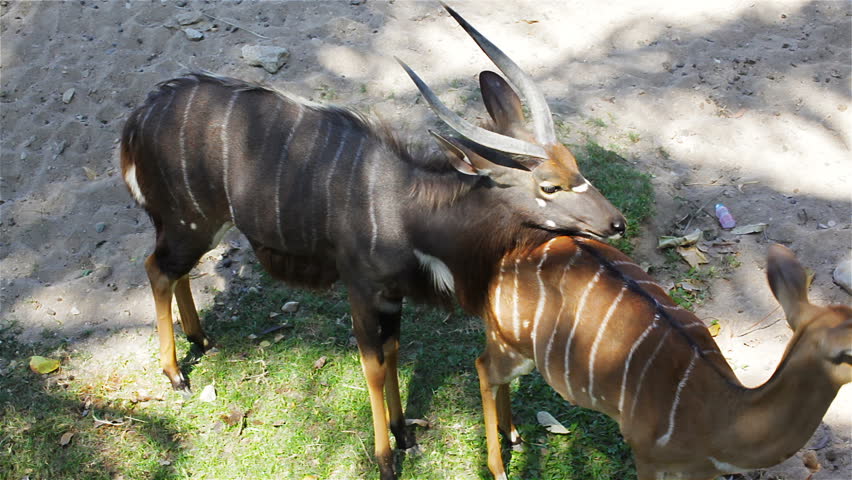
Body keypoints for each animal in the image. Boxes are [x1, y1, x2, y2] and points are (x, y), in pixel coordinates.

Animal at [119, 4, 625, 479]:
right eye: (549, 186)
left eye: (575, 163)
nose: (616, 223)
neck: (408, 208)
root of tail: (140, 117)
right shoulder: (362, 291)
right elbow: (374, 367)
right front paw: (384, 458)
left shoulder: (392, 297)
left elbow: (394, 353)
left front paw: (405, 433)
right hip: (191, 223)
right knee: (156, 269)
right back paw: (175, 375)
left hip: (201, 227)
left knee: (176, 271)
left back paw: (200, 339)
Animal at [474, 237, 852, 480]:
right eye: (846, 352)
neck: (721, 418)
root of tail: (507, 258)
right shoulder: (646, 454)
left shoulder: (701, 473)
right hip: (513, 343)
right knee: (484, 368)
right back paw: (499, 469)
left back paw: (514, 435)